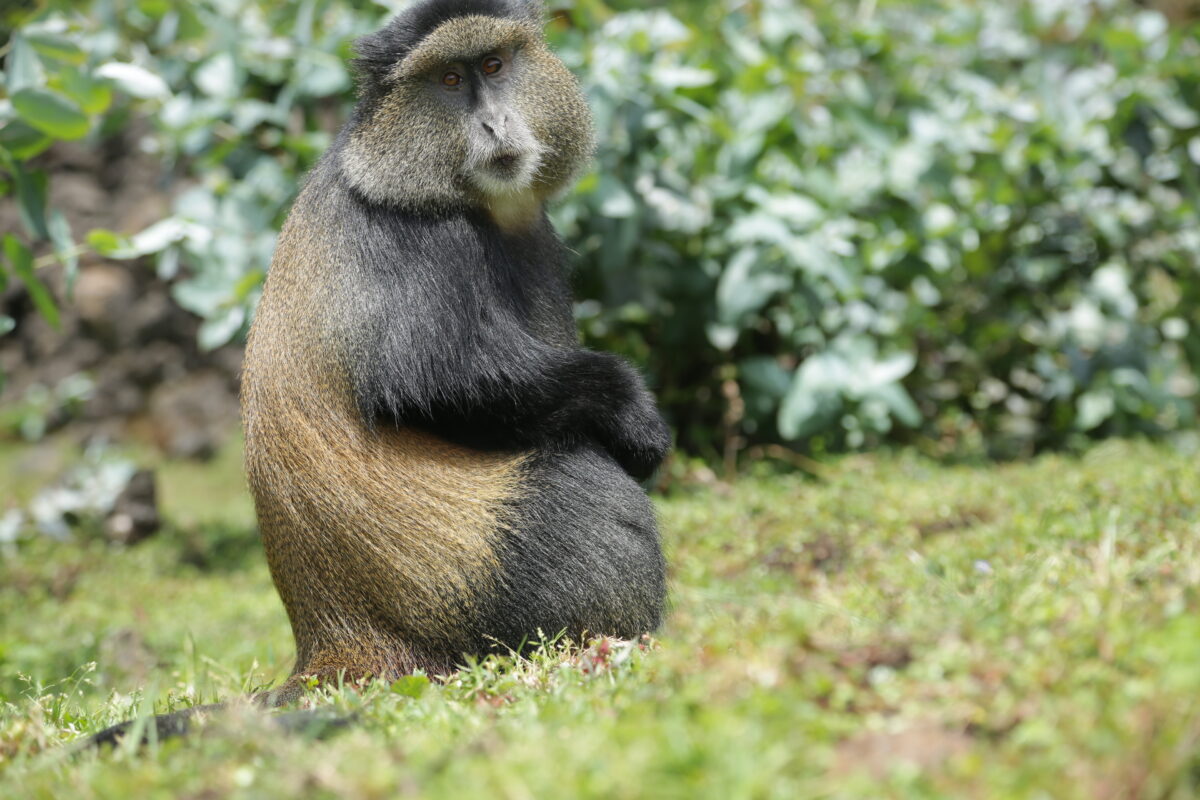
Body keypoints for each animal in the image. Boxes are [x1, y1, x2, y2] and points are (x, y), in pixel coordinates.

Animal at [88, 0, 668, 745]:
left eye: (494, 66)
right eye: (449, 79)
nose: (493, 124)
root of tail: (336, 646)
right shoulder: (413, 238)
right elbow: (439, 387)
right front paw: (634, 413)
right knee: (578, 477)